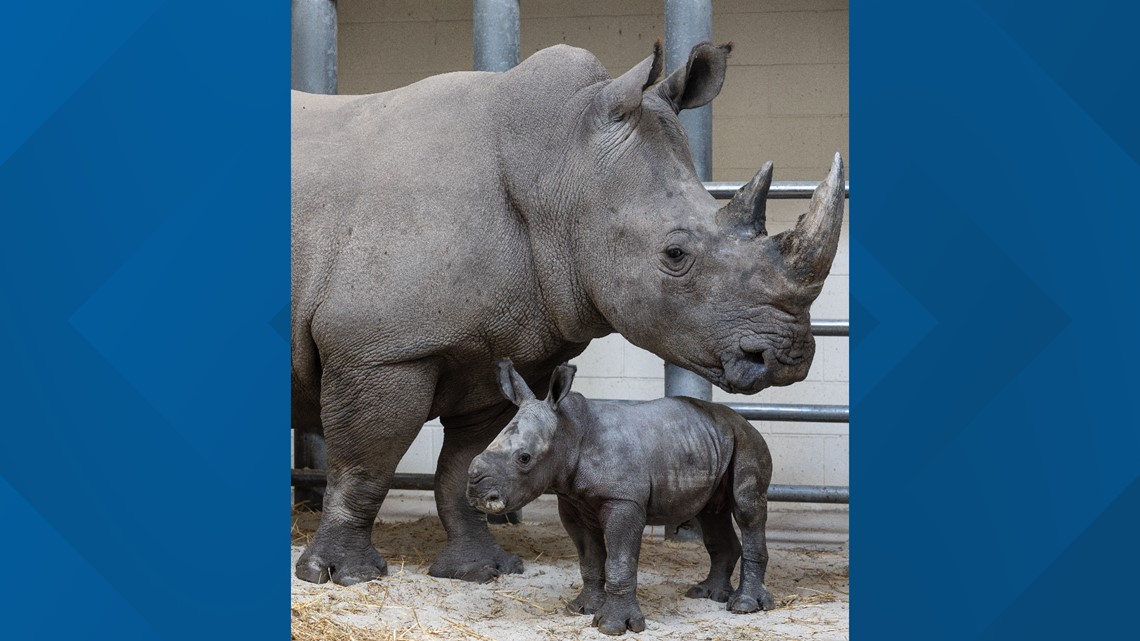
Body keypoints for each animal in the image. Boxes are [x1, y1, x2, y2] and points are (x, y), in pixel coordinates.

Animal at [292, 41, 845, 585]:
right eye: (674, 254)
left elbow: (463, 462)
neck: (561, 168)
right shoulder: (380, 352)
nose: (789, 359)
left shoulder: (498, 350)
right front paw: (340, 574)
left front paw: (482, 570)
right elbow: (365, 466)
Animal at [469, 360, 775, 635]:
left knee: (747, 509)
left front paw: (613, 626)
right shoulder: (572, 502)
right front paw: (582, 609)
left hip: (748, 441)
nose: (475, 492)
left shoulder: (624, 501)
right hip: (714, 441)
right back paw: (708, 594)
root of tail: (742, 419)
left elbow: (619, 561)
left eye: (524, 458)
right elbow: (590, 559)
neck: (569, 431)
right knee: (711, 513)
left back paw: (744, 606)